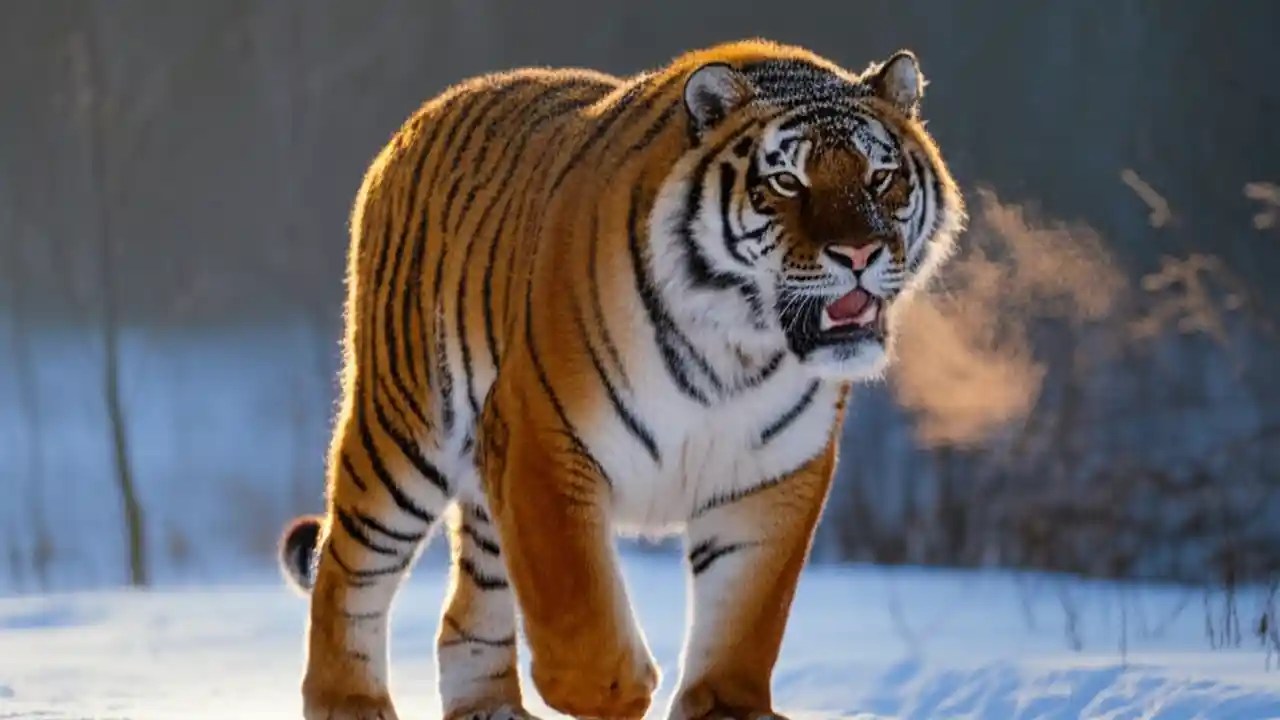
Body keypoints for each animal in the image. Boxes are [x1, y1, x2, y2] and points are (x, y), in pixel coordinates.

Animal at [277, 38, 964, 720]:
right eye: (787, 181)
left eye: (881, 176)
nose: (859, 254)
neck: (740, 351)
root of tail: (418, 121)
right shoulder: (542, 439)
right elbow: (579, 620)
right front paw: (626, 691)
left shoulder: (772, 475)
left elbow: (746, 616)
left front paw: (721, 707)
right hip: (403, 433)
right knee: (347, 566)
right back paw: (350, 702)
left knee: (464, 613)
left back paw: (490, 708)